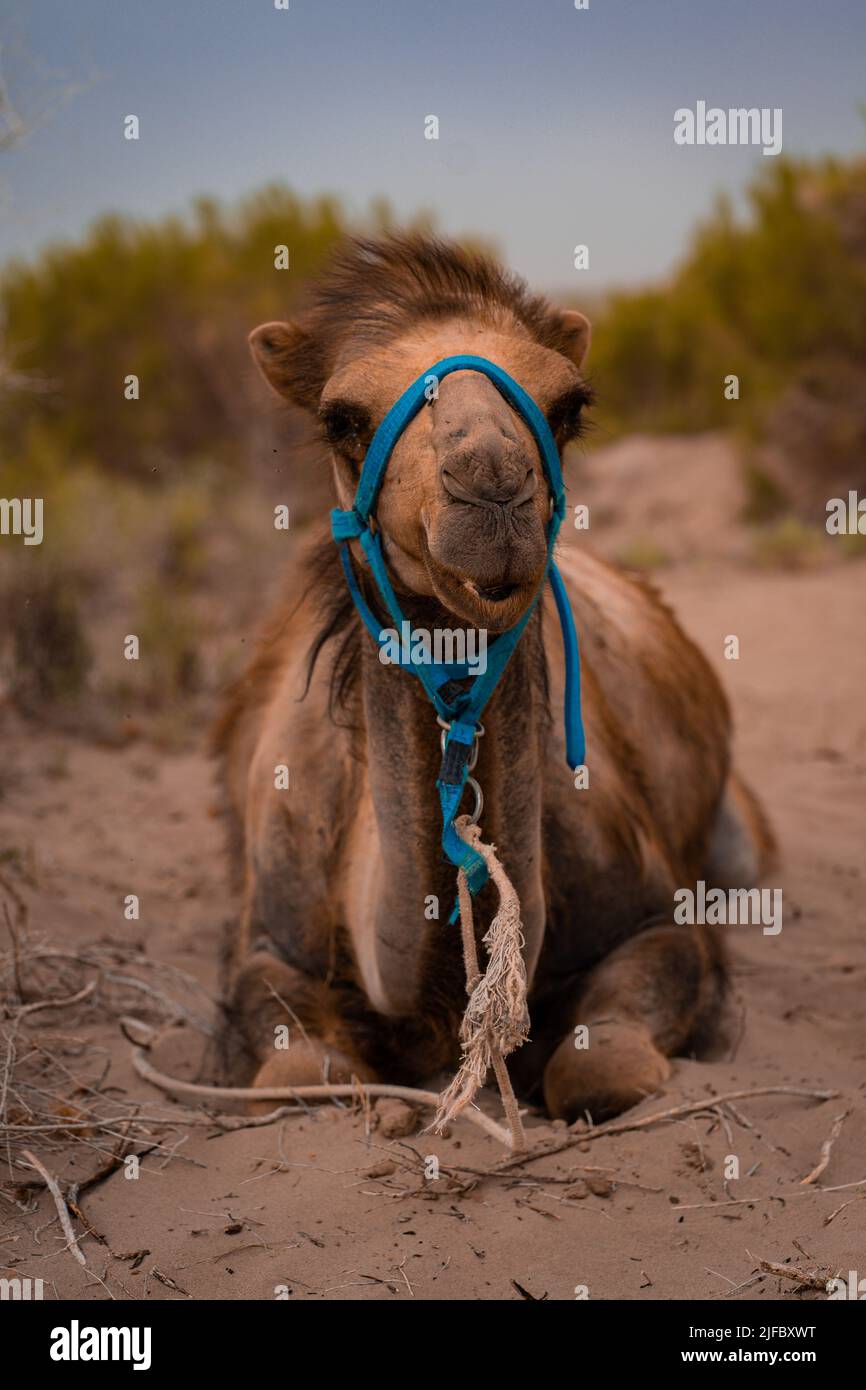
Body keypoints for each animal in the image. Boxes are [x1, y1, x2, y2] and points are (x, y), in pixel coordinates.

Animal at [214, 234, 775, 1123]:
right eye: (342, 419)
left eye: (569, 406)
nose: (493, 485)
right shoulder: (268, 943)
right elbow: (296, 1071)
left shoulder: (658, 921)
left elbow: (603, 1066)